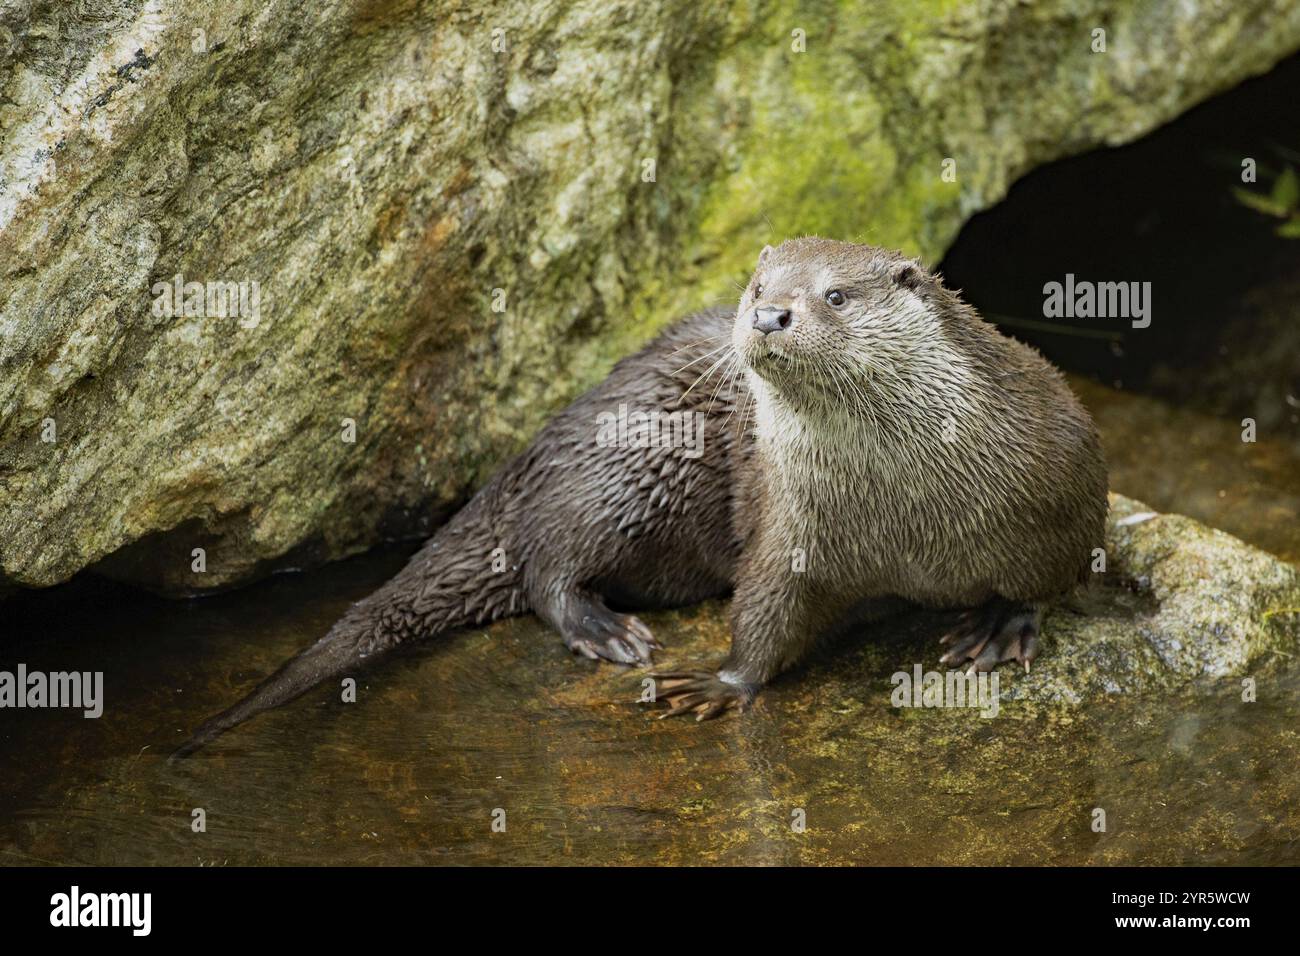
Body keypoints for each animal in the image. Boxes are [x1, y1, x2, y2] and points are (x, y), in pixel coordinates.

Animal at [173, 238, 1107, 756]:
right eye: (756, 287)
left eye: (835, 295)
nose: (768, 314)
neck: (908, 515)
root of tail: (536, 447)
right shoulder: (789, 529)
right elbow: (764, 613)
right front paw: (722, 683)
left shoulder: (1065, 475)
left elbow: (1055, 574)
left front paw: (1002, 623)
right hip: (629, 461)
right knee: (546, 559)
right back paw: (603, 629)